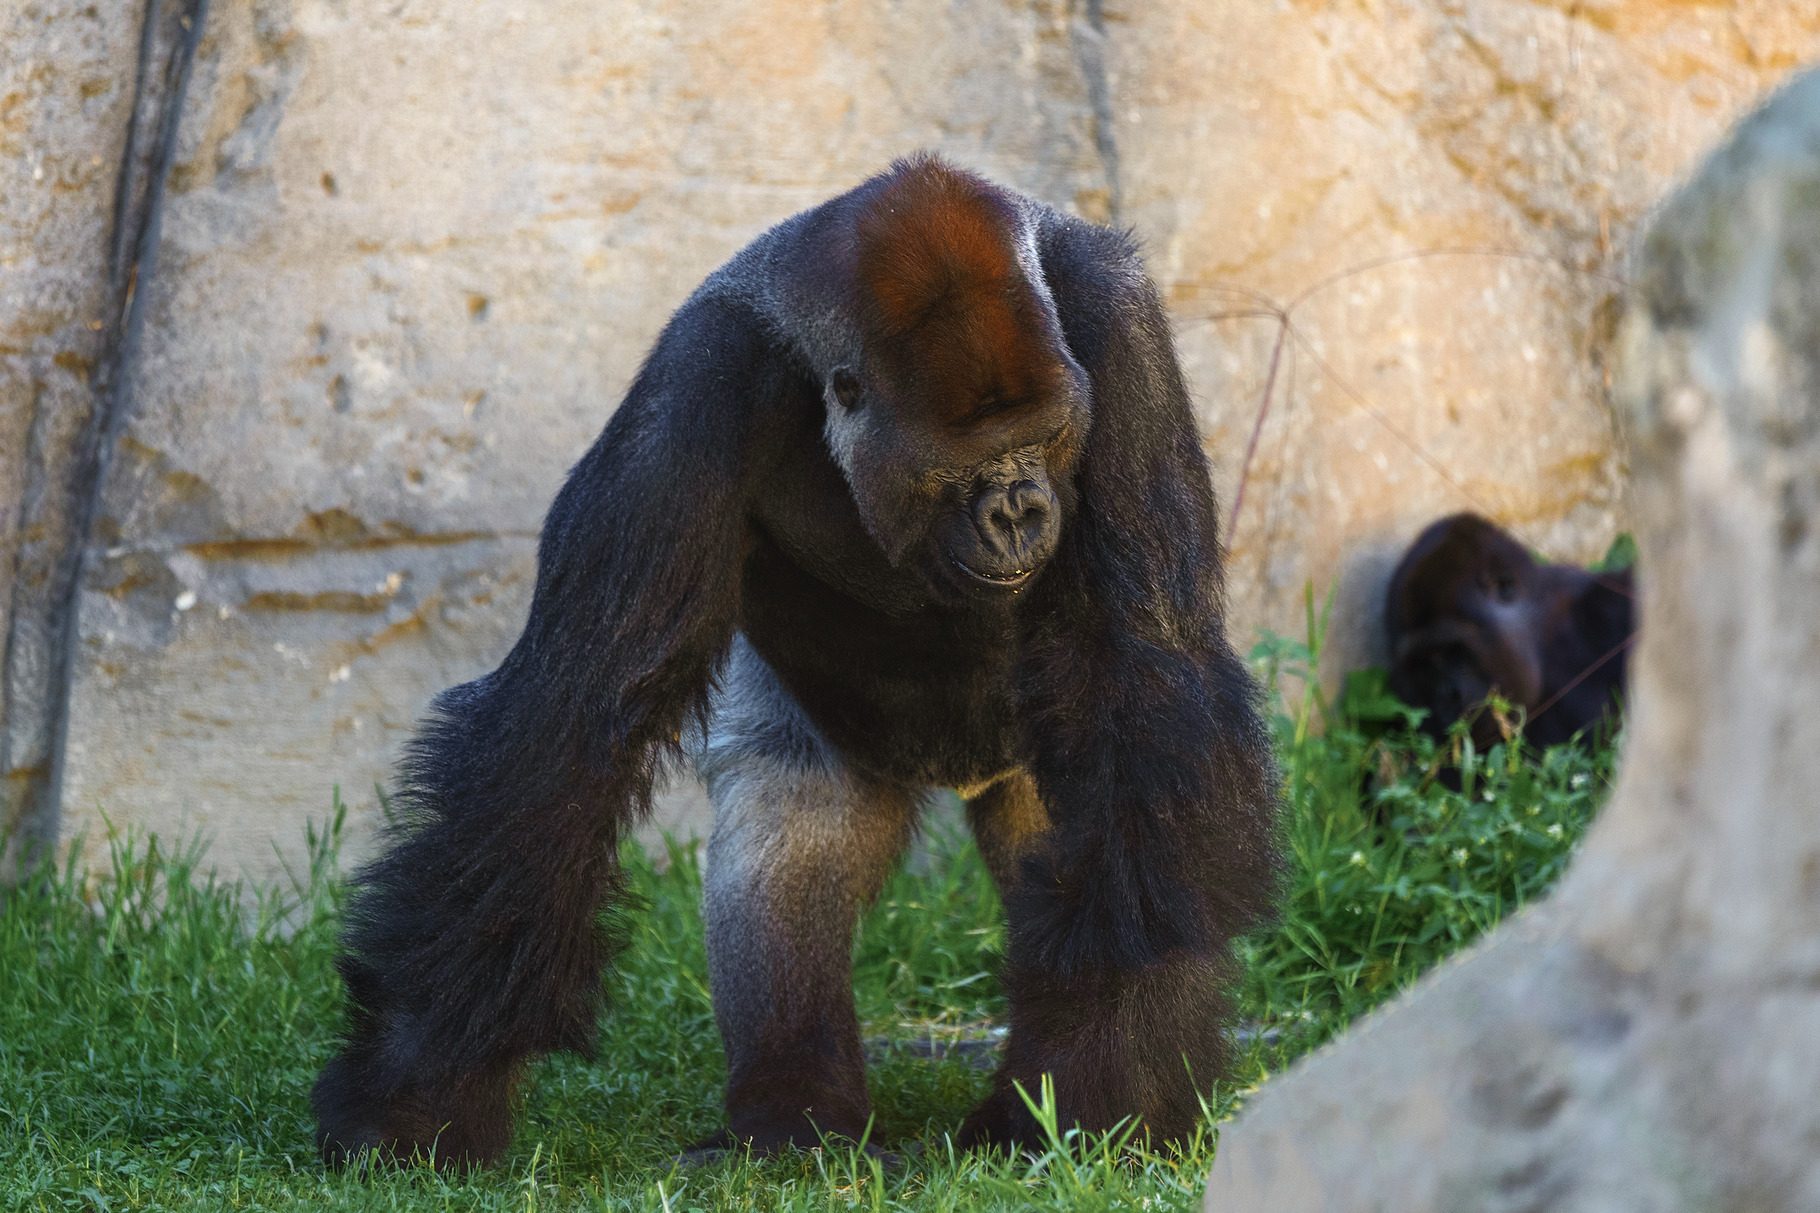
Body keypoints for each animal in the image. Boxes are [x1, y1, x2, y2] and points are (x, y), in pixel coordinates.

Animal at [310, 155, 1283, 1168]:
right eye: (962, 463)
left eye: (1046, 436)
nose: (1018, 509)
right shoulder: (700, 383)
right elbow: (574, 713)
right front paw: (418, 1089)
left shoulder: (1117, 324)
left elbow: (1143, 674)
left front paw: (1104, 1080)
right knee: (791, 828)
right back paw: (795, 1118)